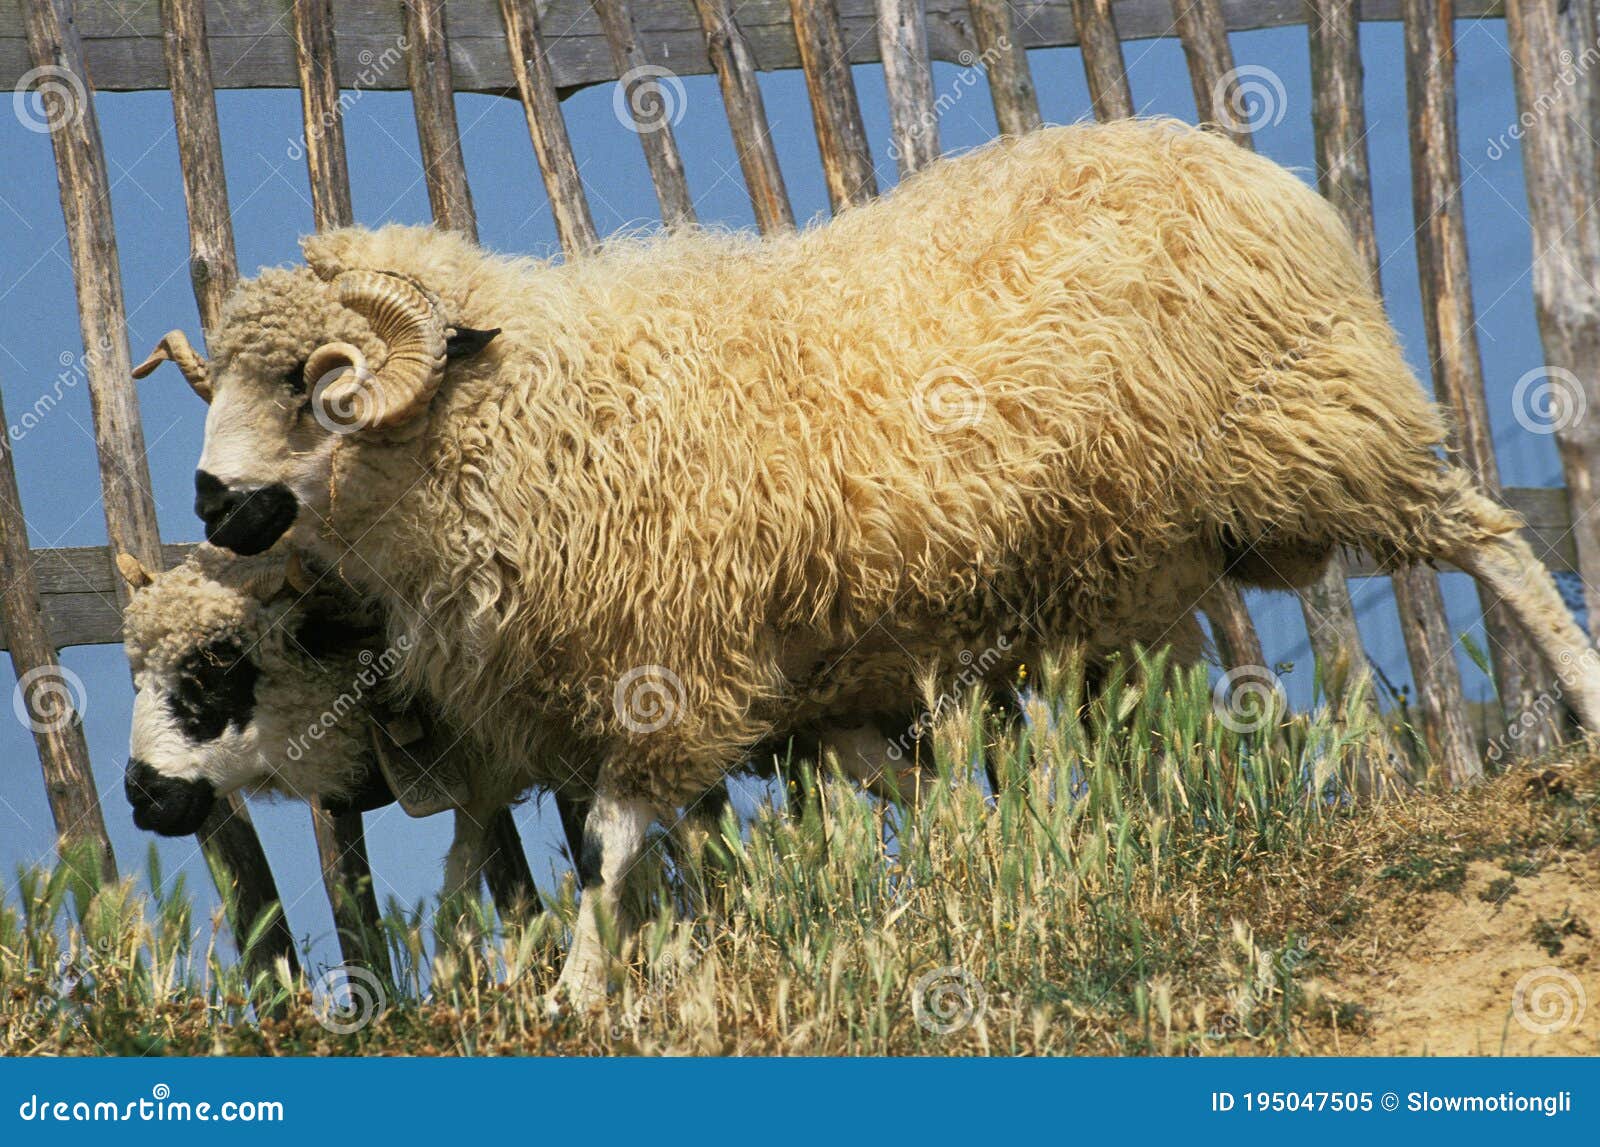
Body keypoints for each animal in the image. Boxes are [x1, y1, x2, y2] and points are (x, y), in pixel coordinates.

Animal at [133, 117, 1600, 1009]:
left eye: (320, 385)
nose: (208, 494)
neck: (541, 415)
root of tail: (1224, 153)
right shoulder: (797, 691)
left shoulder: (670, 664)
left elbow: (608, 845)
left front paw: (578, 992)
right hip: (1153, 550)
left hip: (1317, 424)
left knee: (1492, 540)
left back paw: (1580, 695)